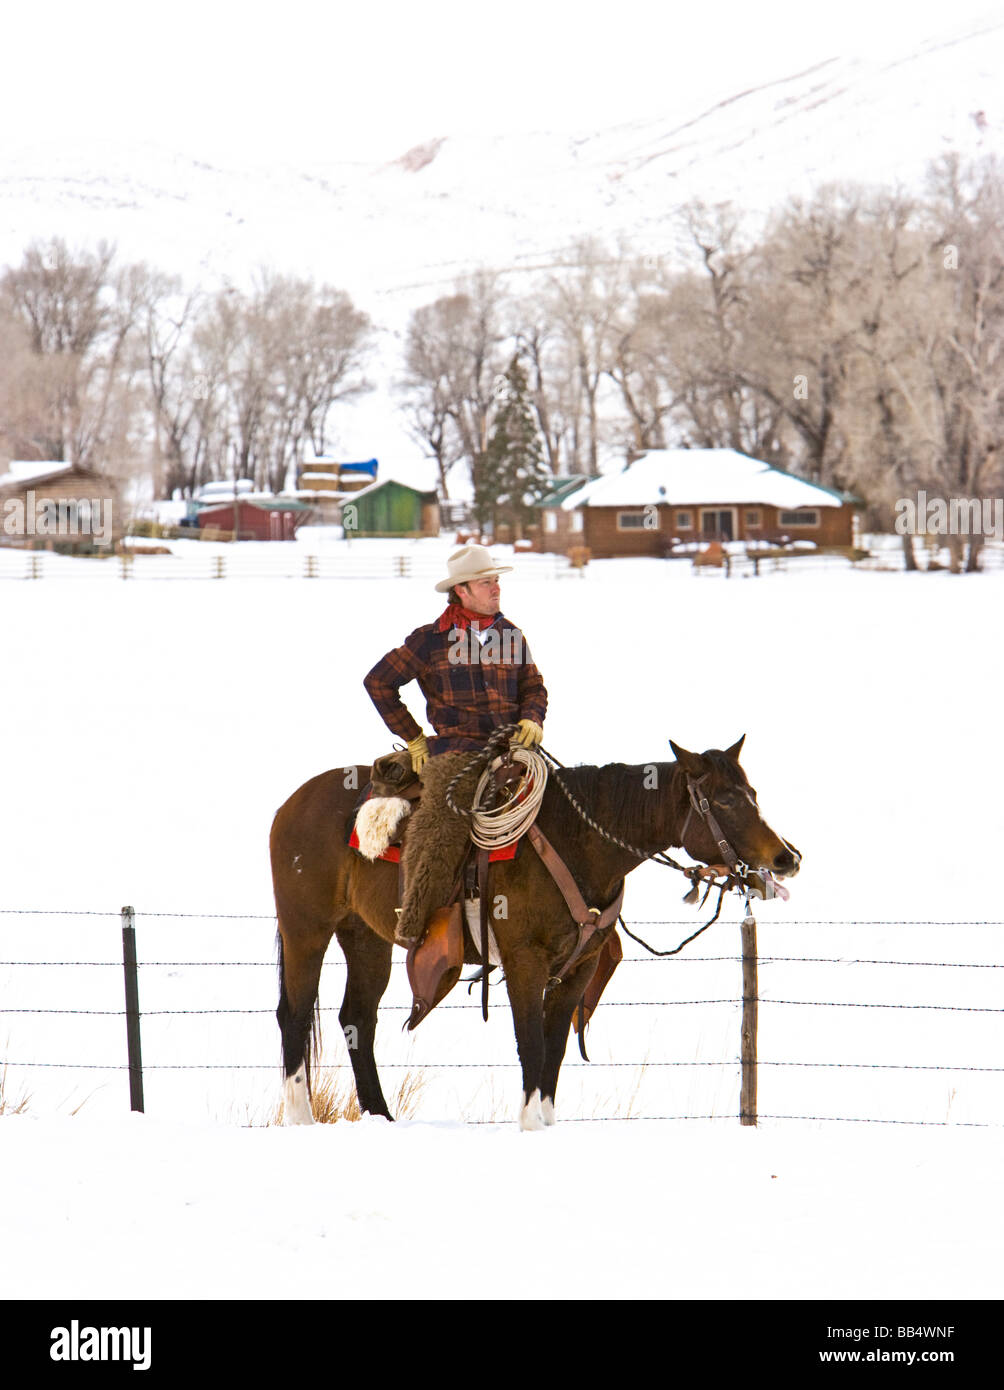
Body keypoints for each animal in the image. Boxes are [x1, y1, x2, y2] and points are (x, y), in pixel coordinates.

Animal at [269, 735, 800, 1130]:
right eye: (726, 800)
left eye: (753, 794)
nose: (787, 858)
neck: (578, 842)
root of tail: (293, 803)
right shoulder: (525, 960)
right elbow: (531, 1041)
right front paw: (528, 1124)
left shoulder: (580, 968)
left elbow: (556, 1047)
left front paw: (545, 1122)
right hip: (306, 929)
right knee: (294, 1014)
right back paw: (300, 1117)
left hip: (366, 939)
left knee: (358, 1019)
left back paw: (381, 1117)